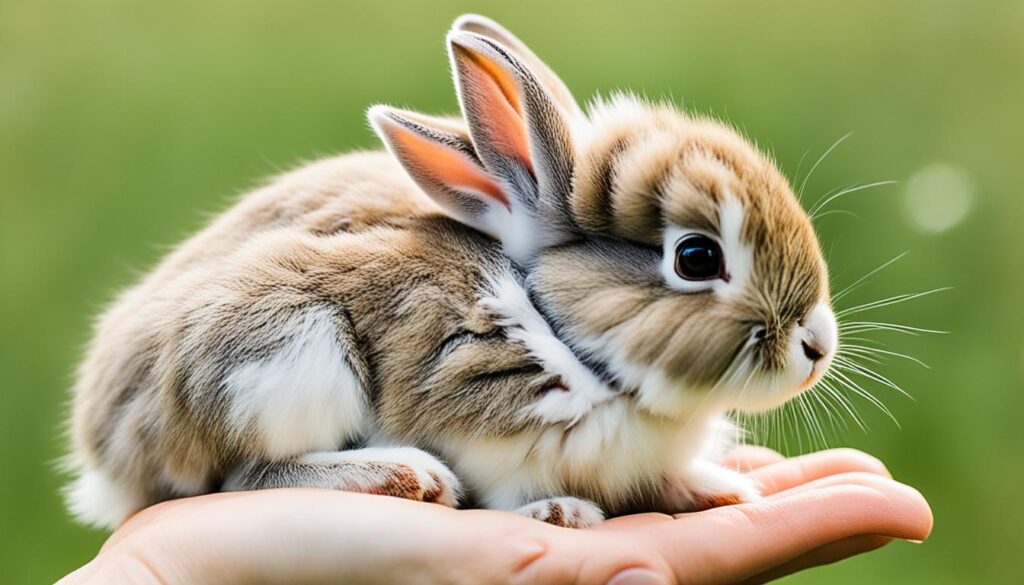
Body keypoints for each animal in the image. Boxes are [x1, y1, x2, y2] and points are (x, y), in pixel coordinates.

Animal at [68, 13, 839, 528]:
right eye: (696, 257)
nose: (816, 346)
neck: (559, 328)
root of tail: (103, 453)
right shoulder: (483, 422)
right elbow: (506, 490)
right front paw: (560, 512)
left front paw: (717, 489)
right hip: (286, 354)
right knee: (244, 475)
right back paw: (406, 475)